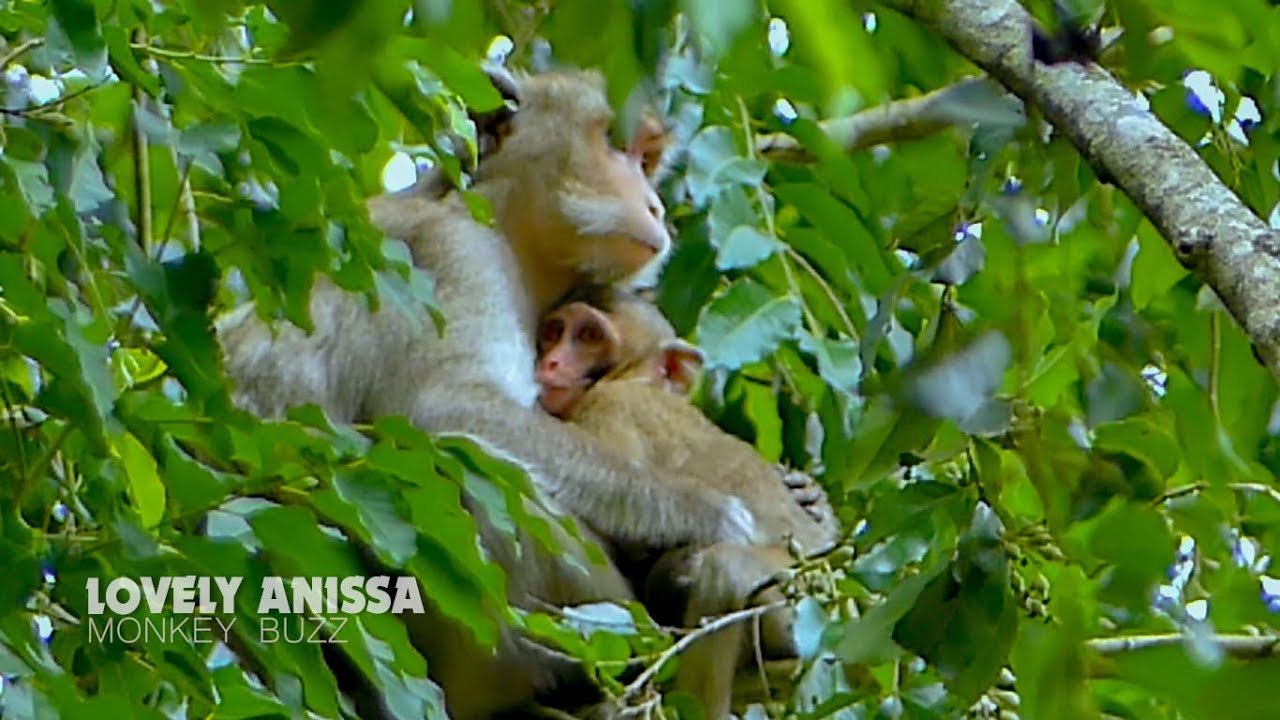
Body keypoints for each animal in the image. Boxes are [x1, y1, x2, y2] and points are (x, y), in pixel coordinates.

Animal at [216, 68, 767, 720]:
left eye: (647, 159)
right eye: (617, 148)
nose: (655, 203)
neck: (499, 214)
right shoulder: (463, 253)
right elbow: (450, 410)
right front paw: (710, 513)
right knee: (462, 467)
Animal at [533, 289, 842, 718]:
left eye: (589, 335)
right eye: (554, 332)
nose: (551, 361)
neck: (630, 378)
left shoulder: (610, 406)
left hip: (791, 608)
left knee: (720, 567)